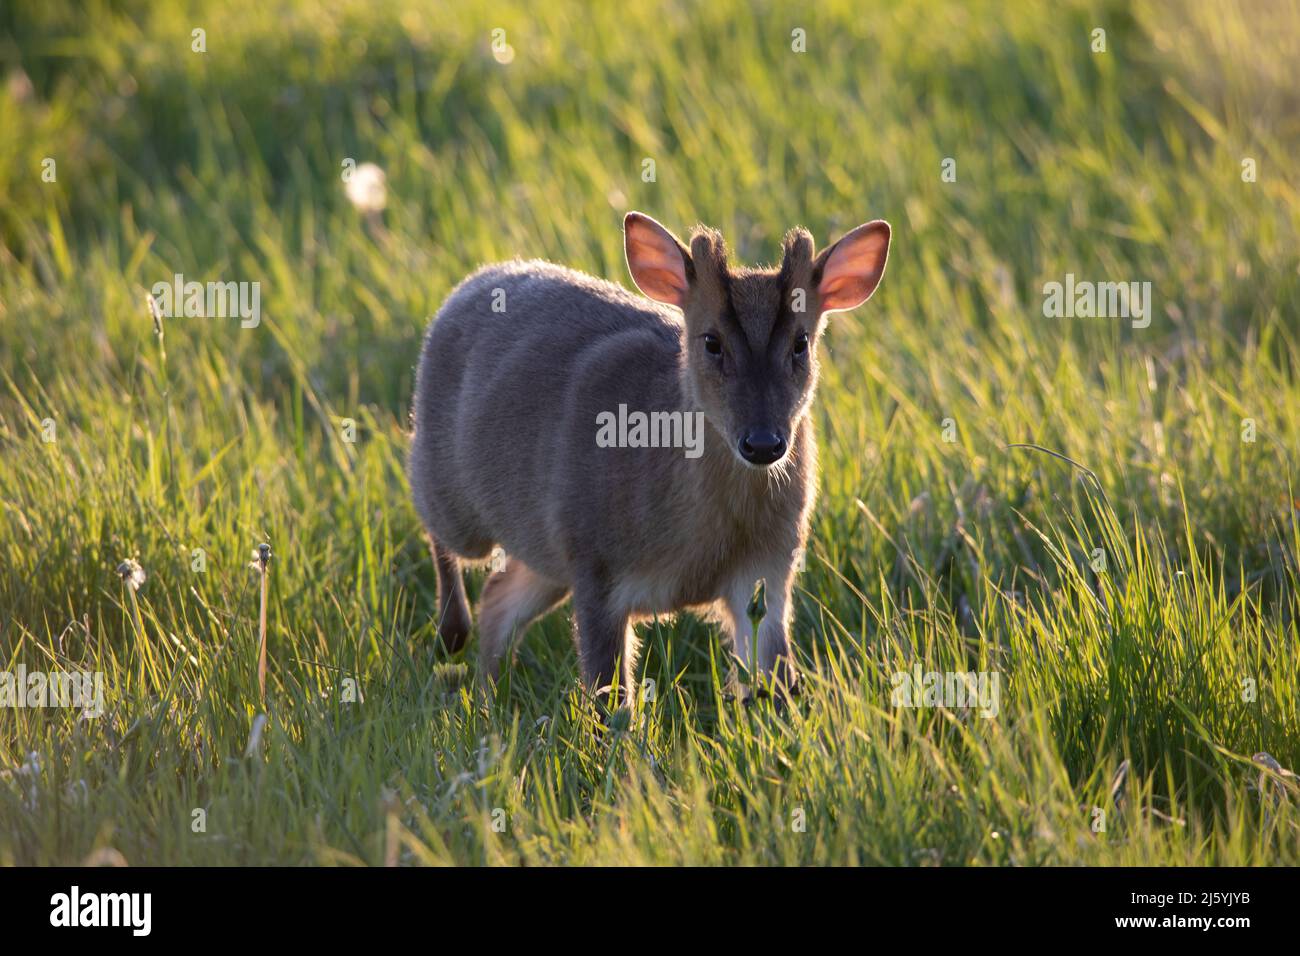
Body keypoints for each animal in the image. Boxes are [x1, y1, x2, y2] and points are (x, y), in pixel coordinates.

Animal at [408, 212, 890, 710]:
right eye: (711, 341)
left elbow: (777, 679)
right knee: (432, 518)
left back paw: (486, 696)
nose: (762, 443)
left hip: (546, 554)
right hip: (450, 487)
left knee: (499, 596)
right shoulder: (594, 561)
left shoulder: (770, 569)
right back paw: (451, 634)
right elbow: (609, 700)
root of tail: (468, 285)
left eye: (801, 343)